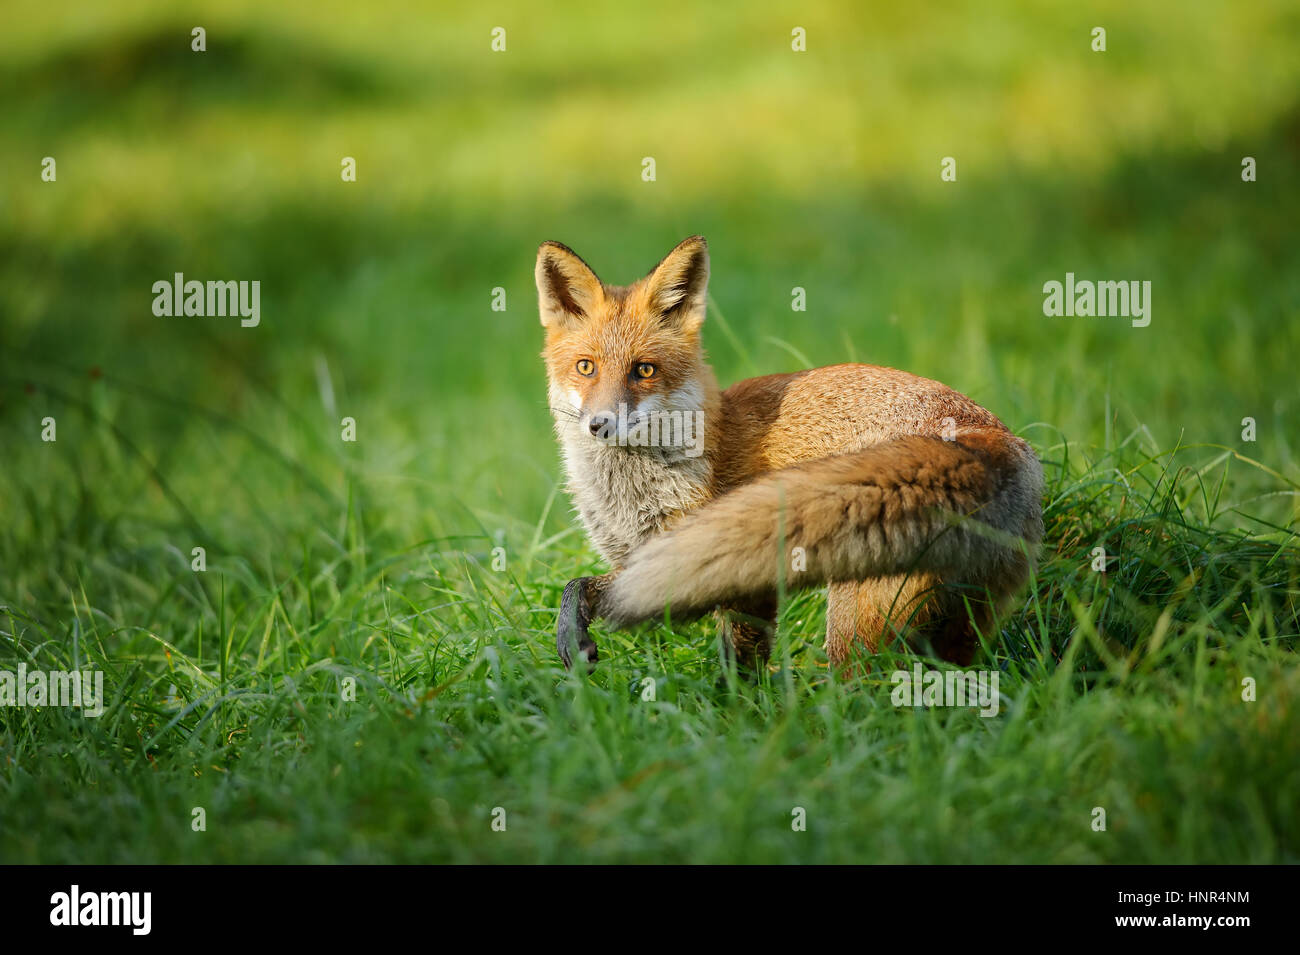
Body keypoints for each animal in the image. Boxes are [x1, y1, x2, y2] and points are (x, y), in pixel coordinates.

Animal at [537, 235, 1044, 672]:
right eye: (586, 367)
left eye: (644, 370)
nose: (600, 424)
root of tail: (988, 440)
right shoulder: (649, 566)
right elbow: (579, 584)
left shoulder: (733, 581)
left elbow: (738, 664)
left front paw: (735, 711)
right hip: (960, 629)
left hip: (854, 626)